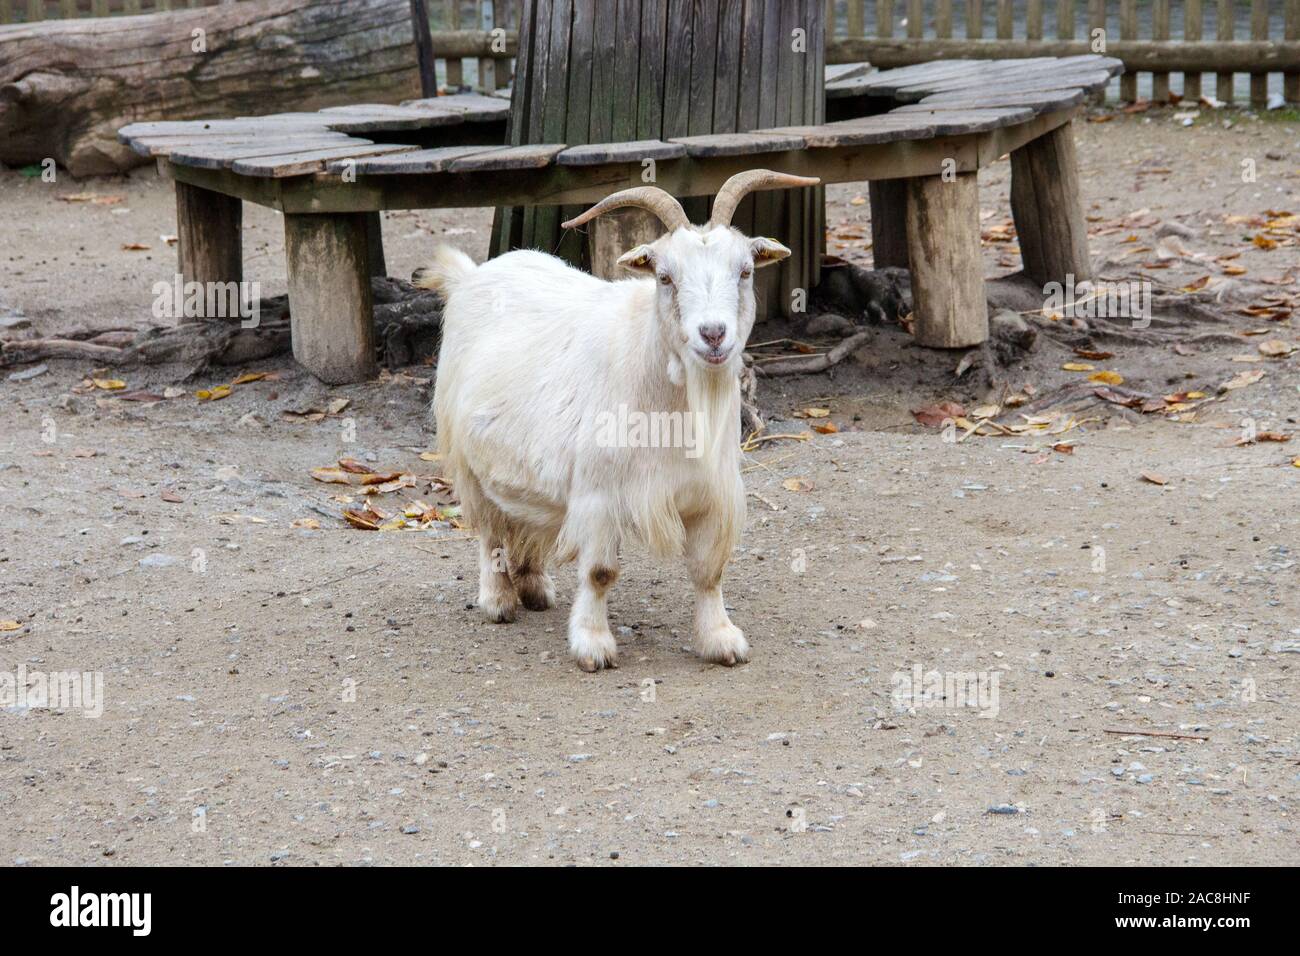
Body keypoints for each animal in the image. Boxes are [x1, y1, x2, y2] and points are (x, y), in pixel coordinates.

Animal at [415, 170, 819, 671]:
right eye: (665, 277)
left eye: (744, 271)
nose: (713, 334)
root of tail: (471, 275)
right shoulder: (599, 496)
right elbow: (600, 571)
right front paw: (593, 645)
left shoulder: (712, 494)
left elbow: (708, 570)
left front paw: (721, 640)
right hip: (467, 459)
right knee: (489, 529)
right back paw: (499, 600)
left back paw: (534, 587)